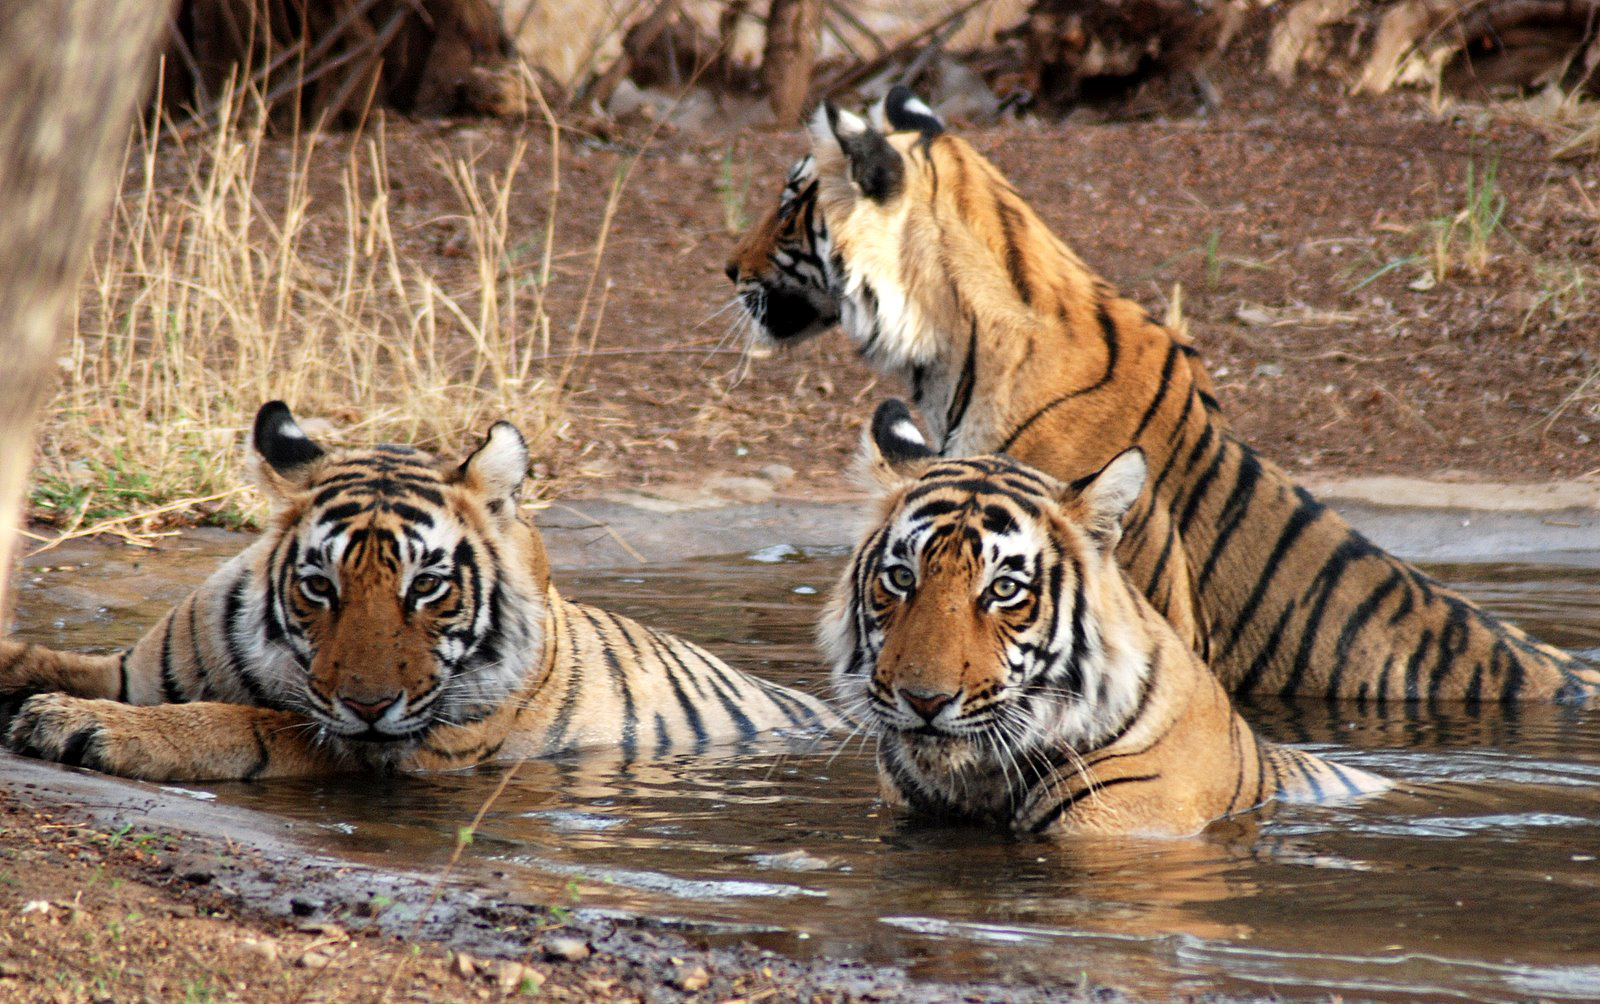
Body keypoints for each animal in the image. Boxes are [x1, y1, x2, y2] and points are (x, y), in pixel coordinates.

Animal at [0, 401, 835, 782]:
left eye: (428, 587)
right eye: (319, 587)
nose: (369, 705)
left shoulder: (389, 747)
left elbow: (243, 722)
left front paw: (80, 725)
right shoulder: (131, 670)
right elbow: (44, 658)